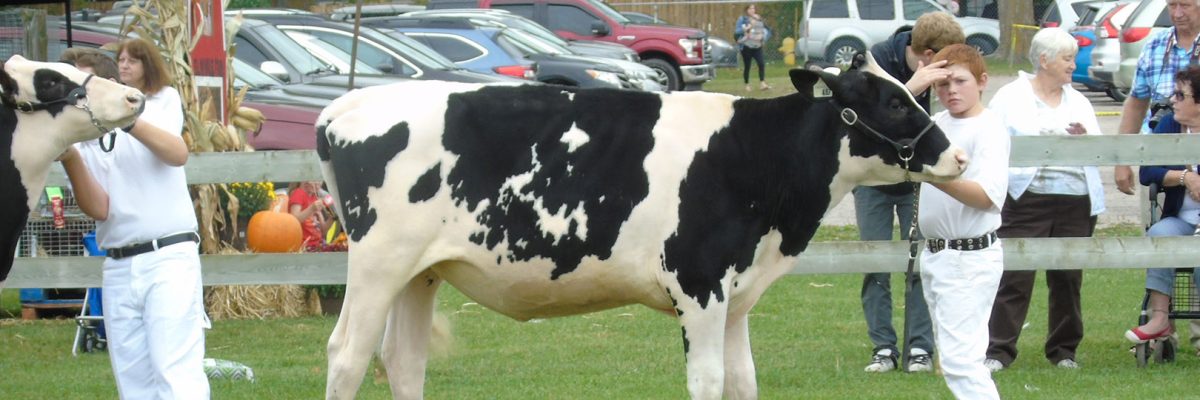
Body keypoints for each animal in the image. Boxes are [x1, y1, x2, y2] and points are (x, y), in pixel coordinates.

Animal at [315, 54, 967, 399]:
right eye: (894, 103)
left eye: (911, 92)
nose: (958, 156)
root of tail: (348, 105)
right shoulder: (699, 285)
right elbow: (708, 381)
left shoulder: (737, 294)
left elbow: (743, 381)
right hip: (378, 264)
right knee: (347, 356)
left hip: (420, 272)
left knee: (403, 360)